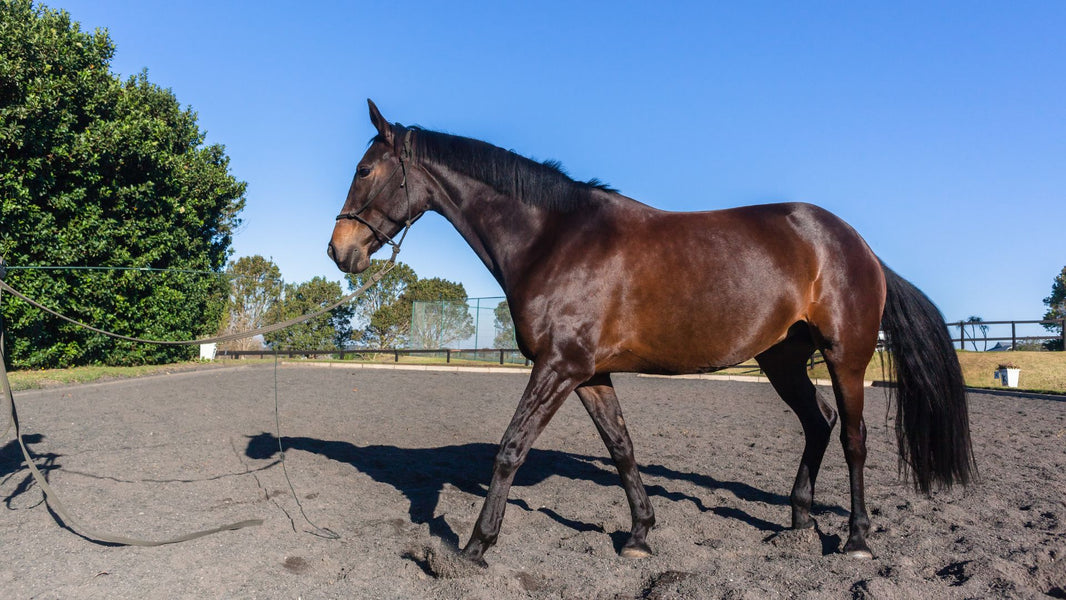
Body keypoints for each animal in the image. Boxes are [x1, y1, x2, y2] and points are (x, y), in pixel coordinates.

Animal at [328, 100, 975, 564]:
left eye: (364, 170)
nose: (340, 251)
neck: (554, 238)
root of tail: (856, 244)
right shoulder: (588, 374)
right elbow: (622, 449)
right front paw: (639, 534)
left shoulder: (557, 367)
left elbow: (511, 448)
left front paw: (474, 546)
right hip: (782, 359)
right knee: (820, 423)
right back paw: (797, 521)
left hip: (846, 358)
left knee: (854, 440)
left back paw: (857, 539)